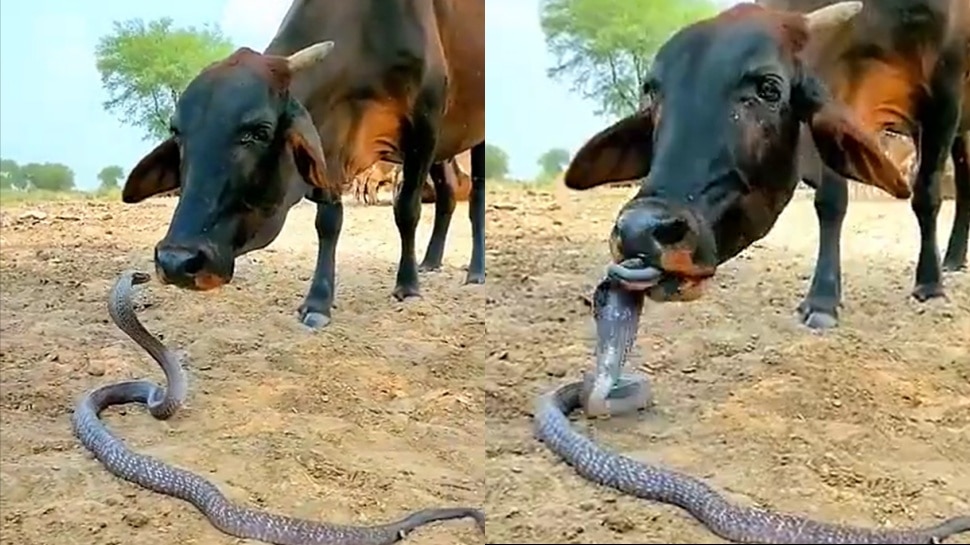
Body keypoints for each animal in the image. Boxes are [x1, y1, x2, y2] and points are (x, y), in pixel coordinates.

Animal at [119, 0, 485, 329]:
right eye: (177, 132)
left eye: (259, 131)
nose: (176, 261)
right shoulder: (331, 150)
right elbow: (328, 222)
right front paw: (318, 301)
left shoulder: (425, 126)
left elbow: (406, 209)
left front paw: (407, 287)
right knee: (448, 195)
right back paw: (431, 261)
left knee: (473, 200)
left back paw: (475, 272)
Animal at [755, 0, 970, 329]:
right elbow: (831, 201)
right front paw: (822, 299)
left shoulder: (945, 92)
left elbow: (927, 194)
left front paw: (930, 284)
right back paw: (954, 258)